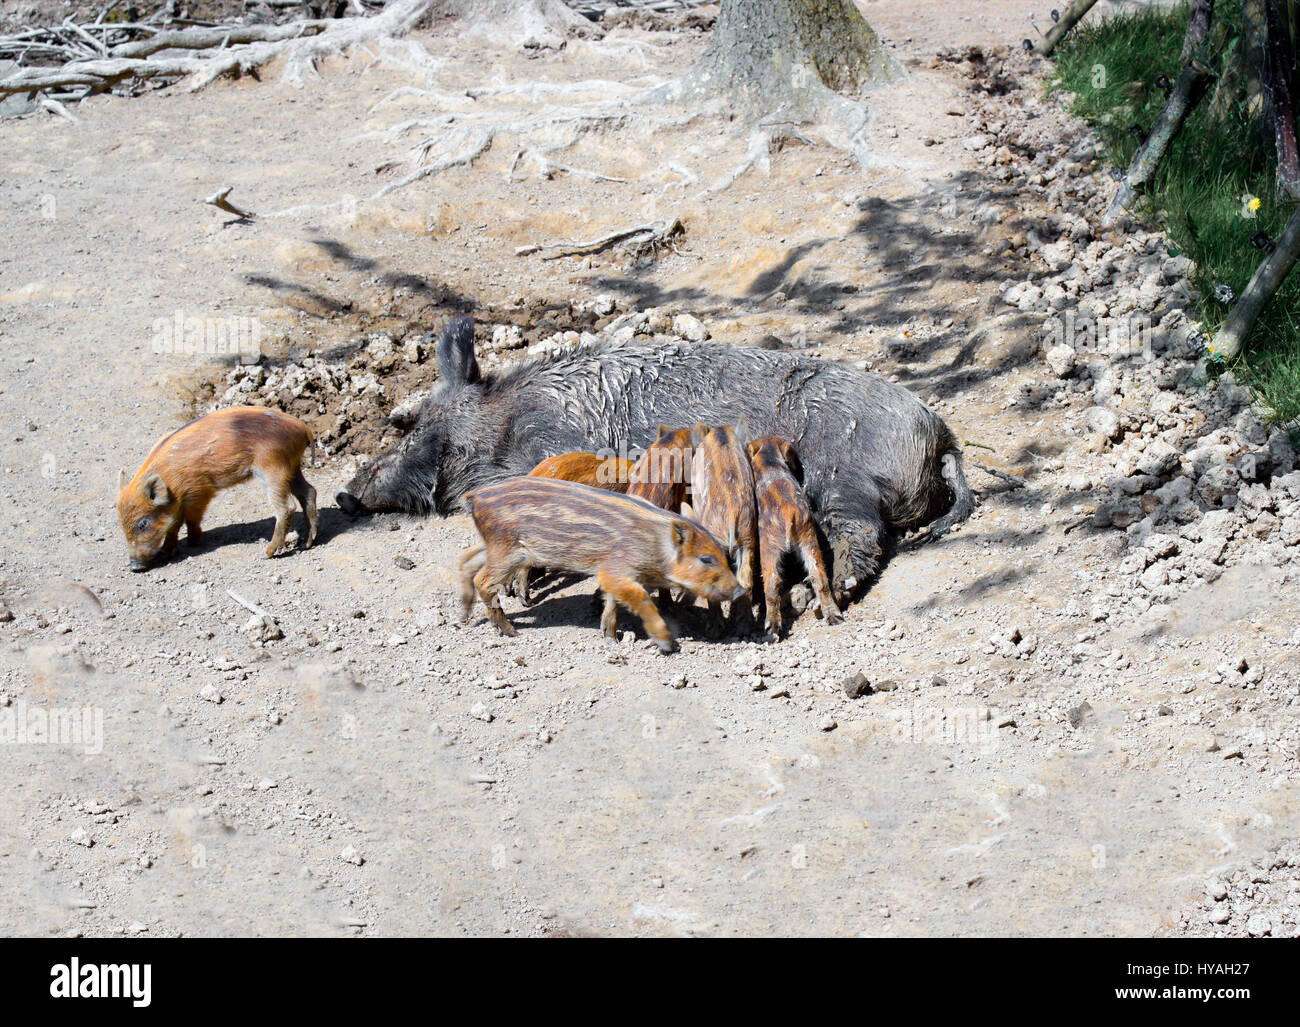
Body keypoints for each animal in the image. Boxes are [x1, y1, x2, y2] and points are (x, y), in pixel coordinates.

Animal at [116, 406, 318, 570]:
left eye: (143, 523)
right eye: (121, 524)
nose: (134, 567)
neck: (170, 478)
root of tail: (302, 427)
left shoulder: (199, 491)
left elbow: (190, 519)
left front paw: (193, 543)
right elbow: (174, 524)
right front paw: (167, 552)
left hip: (273, 470)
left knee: (286, 508)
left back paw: (265, 553)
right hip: (292, 467)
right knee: (309, 492)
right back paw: (307, 543)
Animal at [339, 316, 974, 598]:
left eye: (415, 430)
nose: (348, 492)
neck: (506, 426)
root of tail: (939, 434)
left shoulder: (554, 446)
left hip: (846, 474)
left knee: (863, 533)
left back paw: (830, 589)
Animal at [459, 476, 743, 653]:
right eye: (705, 559)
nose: (740, 590)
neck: (655, 545)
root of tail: (477, 495)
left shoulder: (620, 577)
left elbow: (613, 603)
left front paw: (610, 638)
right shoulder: (616, 570)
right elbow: (641, 601)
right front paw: (667, 644)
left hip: (493, 547)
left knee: (465, 560)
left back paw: (464, 618)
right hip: (507, 551)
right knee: (483, 581)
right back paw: (510, 632)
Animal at [747, 435, 842, 639]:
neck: (770, 462)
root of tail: (788, 510)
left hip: (769, 548)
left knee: (772, 586)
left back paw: (772, 629)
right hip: (809, 541)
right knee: (819, 578)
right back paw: (833, 615)